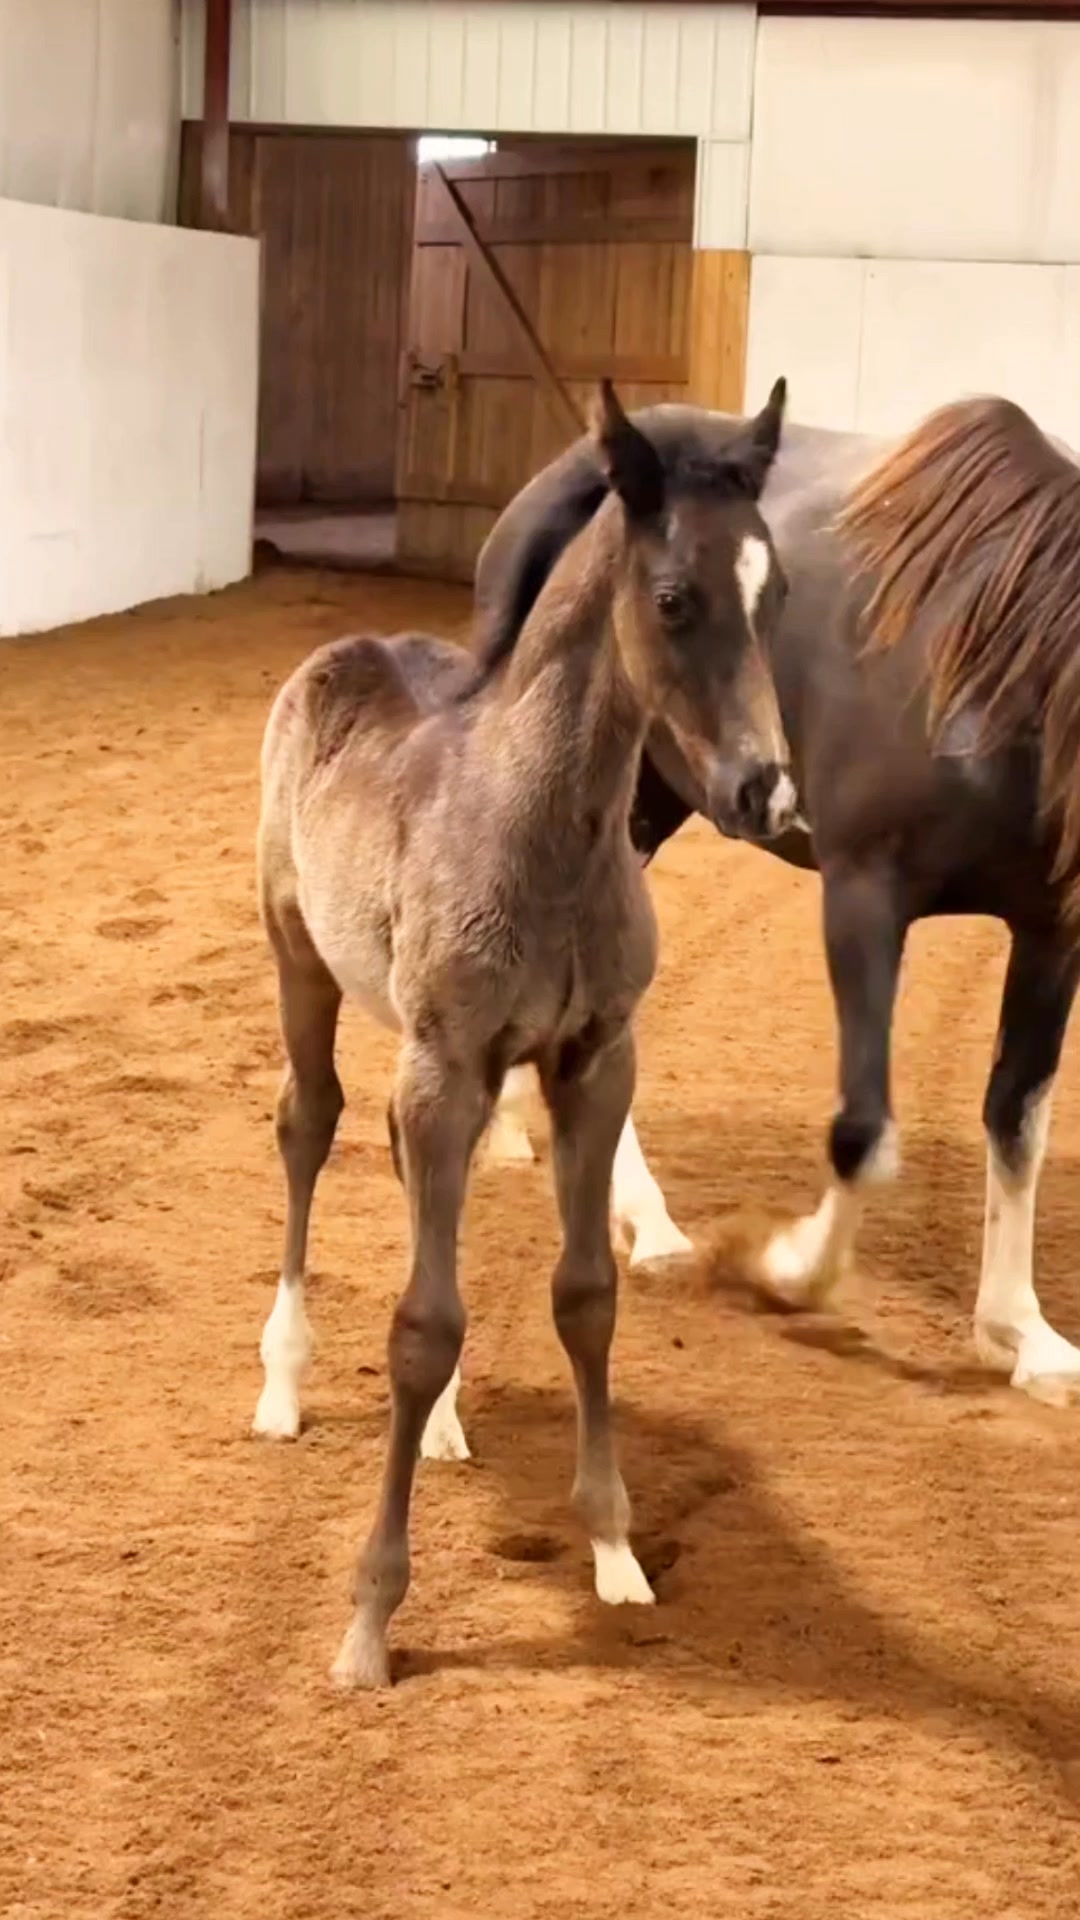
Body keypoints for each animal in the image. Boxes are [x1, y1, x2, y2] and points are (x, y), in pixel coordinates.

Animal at [251, 379, 796, 1687]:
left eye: (776, 591)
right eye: (673, 595)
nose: (767, 791)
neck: (540, 829)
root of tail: (345, 652)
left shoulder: (591, 1061)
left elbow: (585, 1294)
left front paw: (615, 1552)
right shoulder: (450, 1067)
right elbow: (419, 1323)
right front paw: (369, 1624)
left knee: (397, 1168)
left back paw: (446, 1428)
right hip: (302, 961)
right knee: (309, 1126)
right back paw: (283, 1384)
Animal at [470, 392, 1080, 1417]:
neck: (994, 663)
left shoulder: (1052, 929)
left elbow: (1017, 1119)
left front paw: (1022, 1333)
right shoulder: (865, 896)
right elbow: (865, 1129)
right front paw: (784, 1269)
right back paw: (651, 1221)